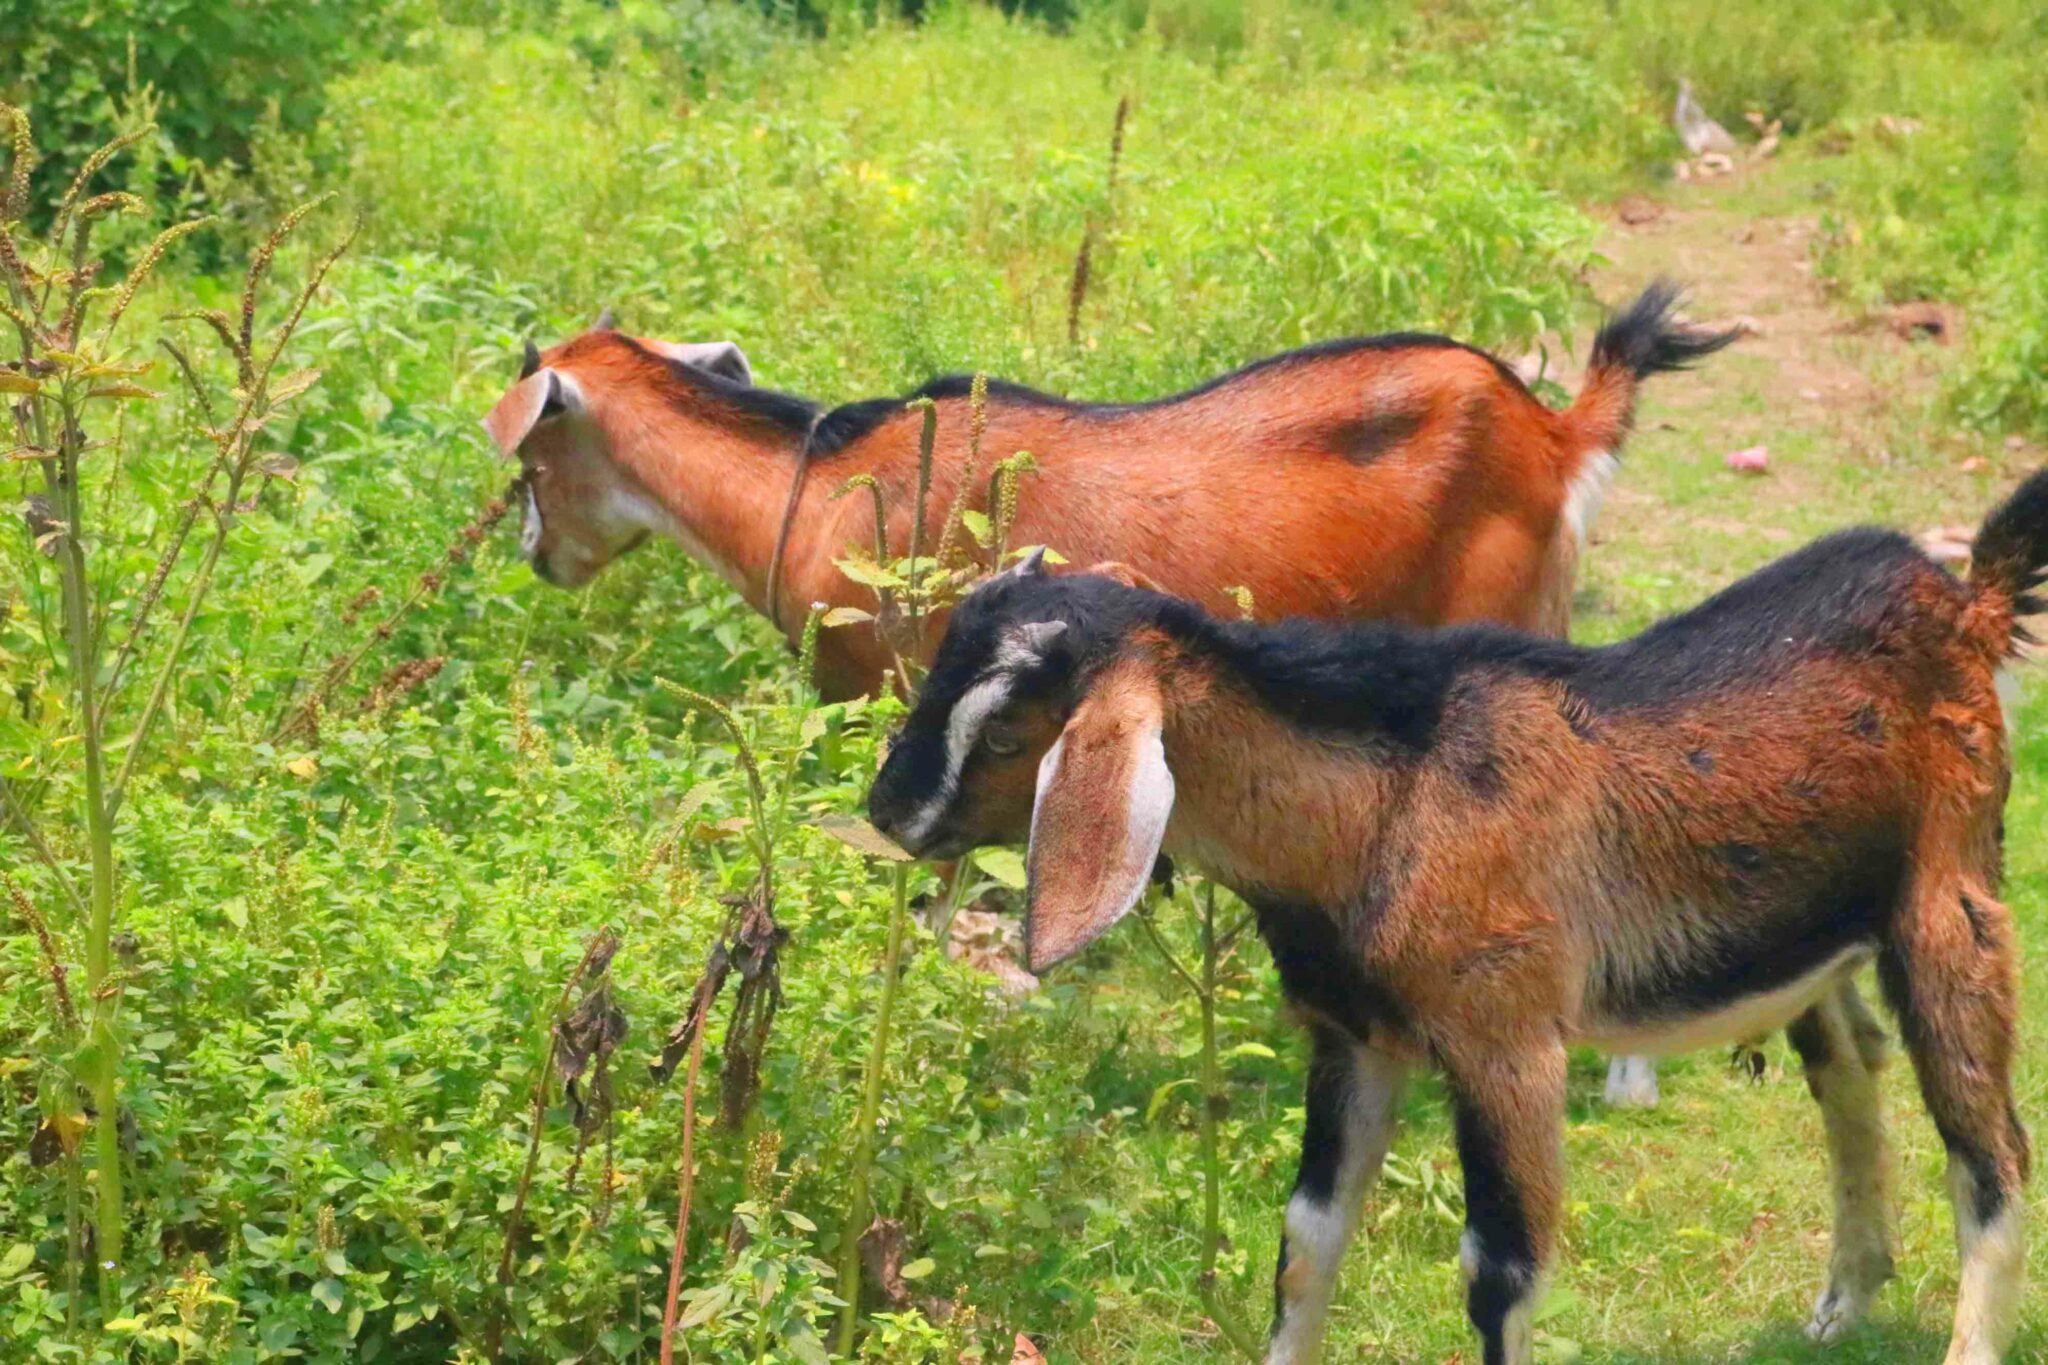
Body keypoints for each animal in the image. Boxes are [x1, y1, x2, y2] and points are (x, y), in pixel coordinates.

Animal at [866, 472, 2048, 1365]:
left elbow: (1499, 1270)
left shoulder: (1504, 1036)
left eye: (1011, 729)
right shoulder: (1353, 1033)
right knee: (1848, 1060)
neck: (1389, 799)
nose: (888, 812)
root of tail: (1968, 601)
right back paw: (1843, 1299)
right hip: (1811, 927)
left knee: (1989, 1154)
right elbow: (1305, 1237)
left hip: (1949, 894)